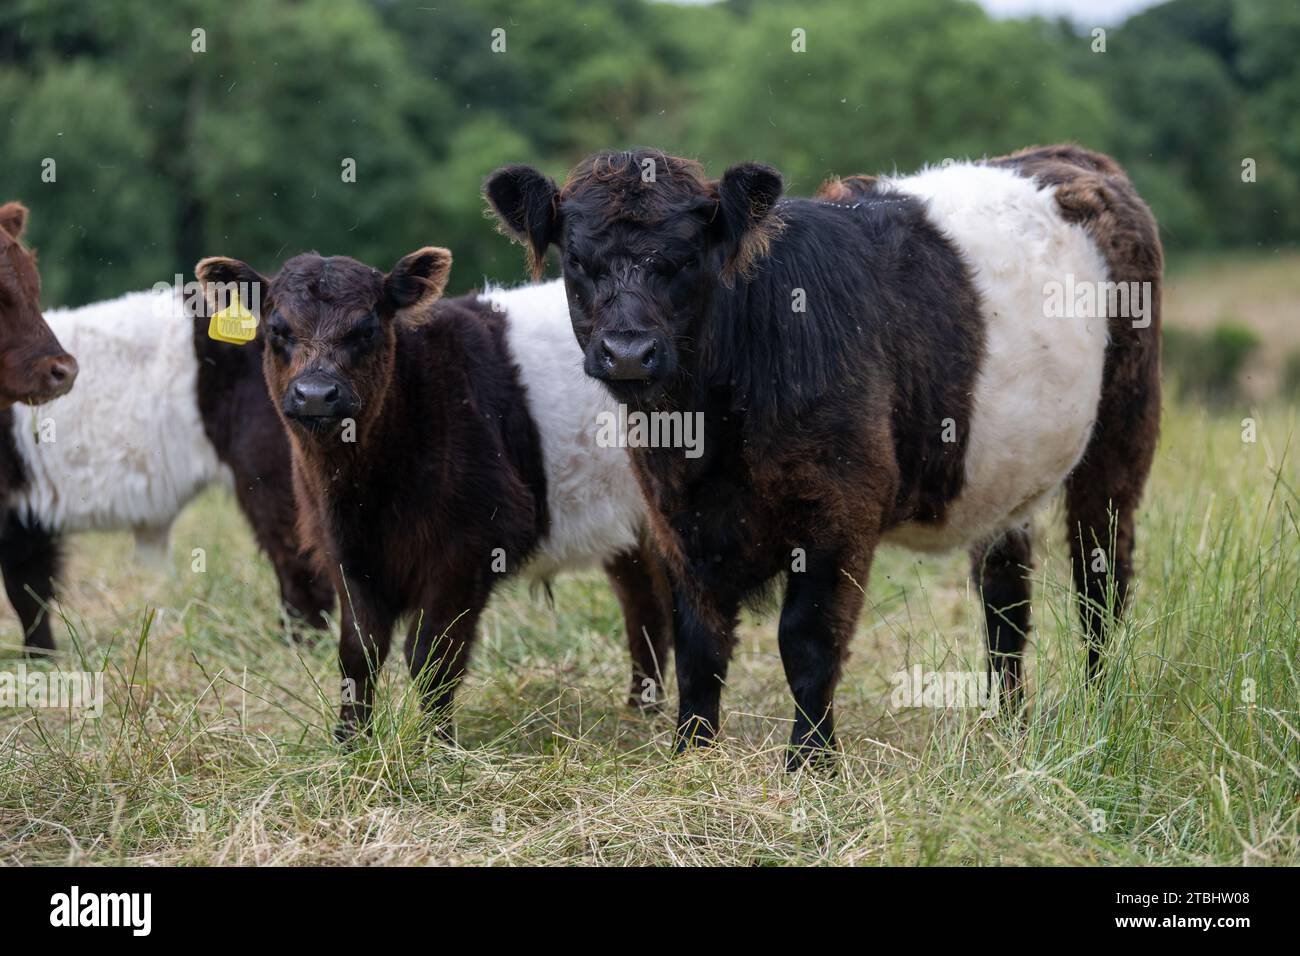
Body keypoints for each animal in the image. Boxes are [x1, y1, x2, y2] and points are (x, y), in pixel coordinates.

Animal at [194, 250, 672, 744]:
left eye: (367, 328)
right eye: (277, 329)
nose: (315, 395)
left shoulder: (466, 549)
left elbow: (431, 655)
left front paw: (437, 745)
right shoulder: (343, 552)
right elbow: (358, 650)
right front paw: (349, 742)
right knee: (644, 604)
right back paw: (639, 712)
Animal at [485, 143, 1162, 769]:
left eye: (685, 258)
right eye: (577, 259)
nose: (628, 352)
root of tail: (1066, 157)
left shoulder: (841, 509)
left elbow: (807, 638)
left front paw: (810, 762)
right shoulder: (675, 514)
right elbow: (699, 642)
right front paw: (691, 753)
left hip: (1119, 445)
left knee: (1101, 582)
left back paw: (1099, 704)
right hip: (1005, 484)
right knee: (1006, 604)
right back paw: (1008, 726)